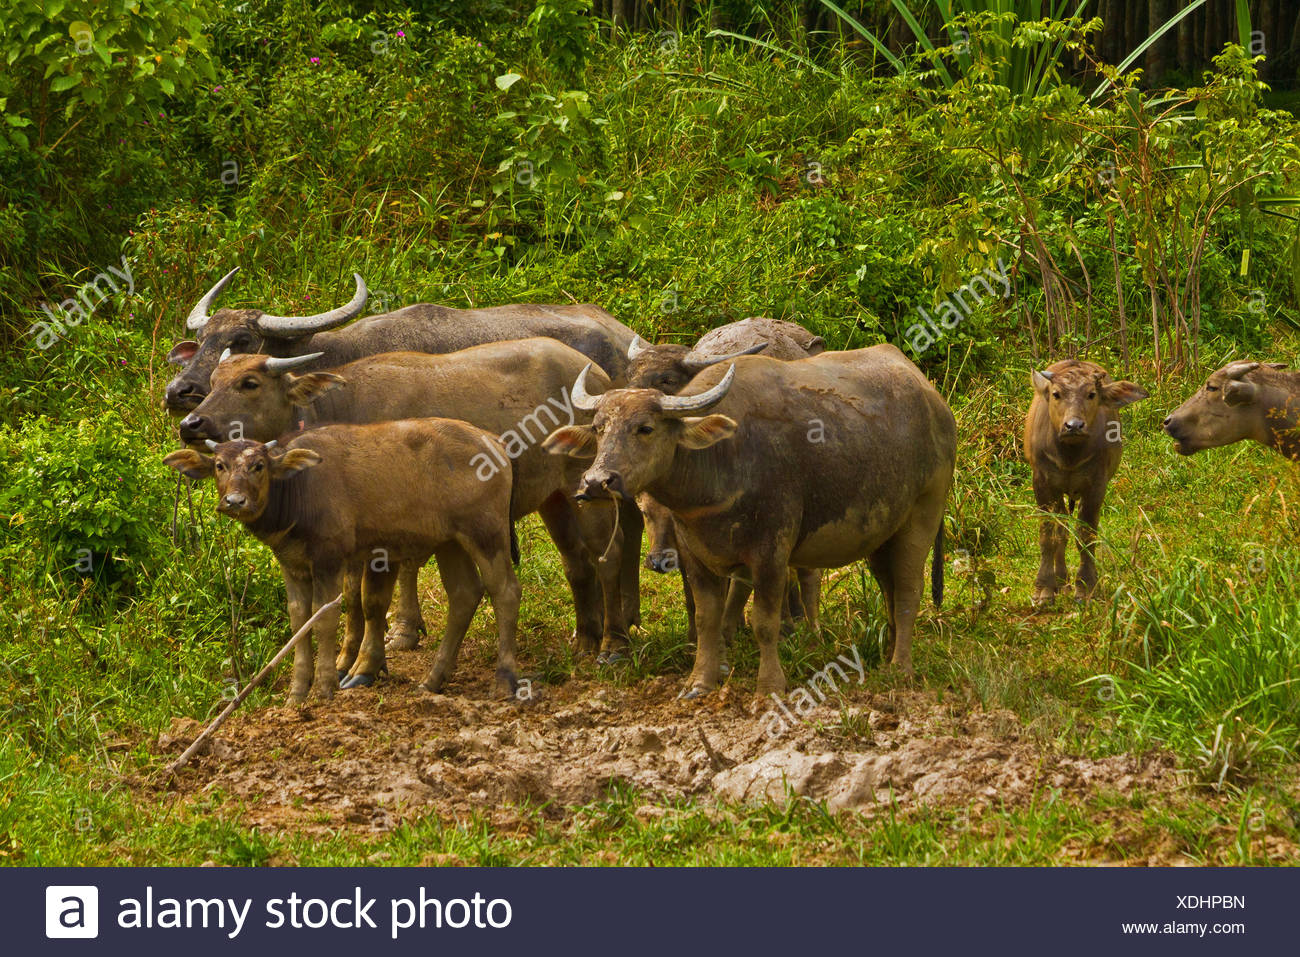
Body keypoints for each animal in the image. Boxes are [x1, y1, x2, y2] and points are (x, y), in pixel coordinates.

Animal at [163, 423, 521, 702]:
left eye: (259, 465)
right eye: (220, 465)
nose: (235, 501)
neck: (299, 490)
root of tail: (496, 442)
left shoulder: (329, 559)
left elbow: (325, 617)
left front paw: (324, 687)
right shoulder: (291, 564)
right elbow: (298, 620)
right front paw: (296, 693)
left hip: (486, 532)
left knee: (505, 591)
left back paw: (504, 681)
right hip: (450, 541)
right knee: (464, 594)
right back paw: (433, 680)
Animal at [544, 345, 955, 697]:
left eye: (645, 427)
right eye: (599, 428)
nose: (596, 482)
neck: (723, 458)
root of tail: (936, 403)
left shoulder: (771, 553)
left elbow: (764, 622)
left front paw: (769, 686)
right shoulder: (694, 554)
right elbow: (707, 618)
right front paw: (700, 682)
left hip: (924, 512)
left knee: (908, 589)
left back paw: (900, 668)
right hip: (883, 531)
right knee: (888, 586)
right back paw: (886, 653)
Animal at [1023, 359, 1148, 605]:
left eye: (1091, 394)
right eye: (1056, 394)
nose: (1074, 426)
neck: (1069, 455)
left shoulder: (1096, 485)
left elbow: (1086, 534)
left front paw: (1086, 586)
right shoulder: (1041, 483)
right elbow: (1048, 534)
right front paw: (1044, 588)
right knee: (1060, 528)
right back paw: (1060, 580)